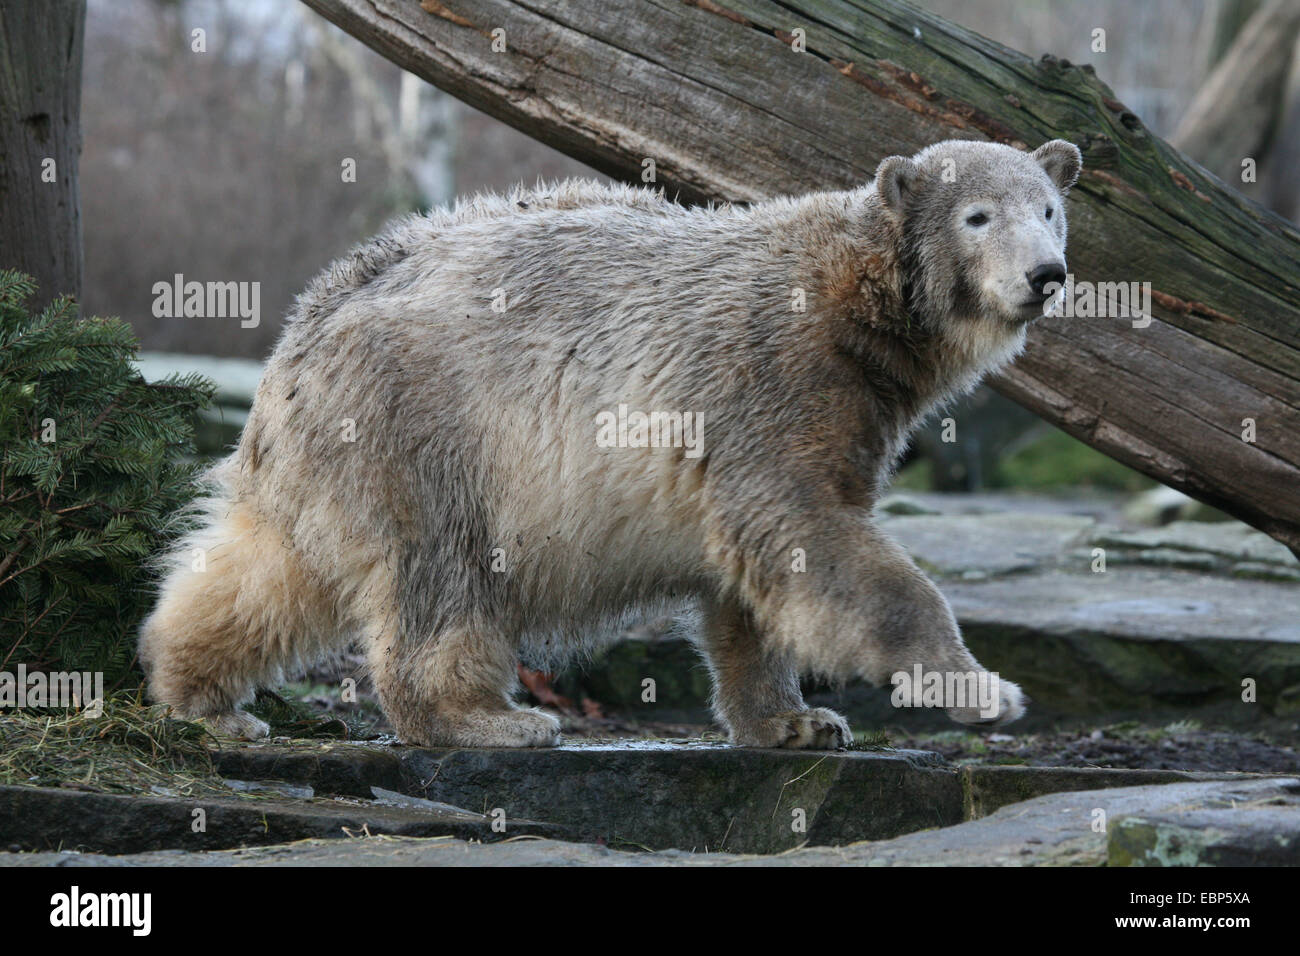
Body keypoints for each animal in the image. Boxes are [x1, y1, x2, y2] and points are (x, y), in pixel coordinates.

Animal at [138, 137, 1082, 749]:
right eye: (978, 215)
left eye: (1051, 208)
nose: (1047, 274)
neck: (852, 292)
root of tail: (306, 329)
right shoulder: (776, 378)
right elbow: (813, 534)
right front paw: (981, 691)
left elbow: (751, 576)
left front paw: (796, 719)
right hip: (426, 423)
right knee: (441, 573)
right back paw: (488, 719)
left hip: (326, 449)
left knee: (268, 565)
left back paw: (200, 693)